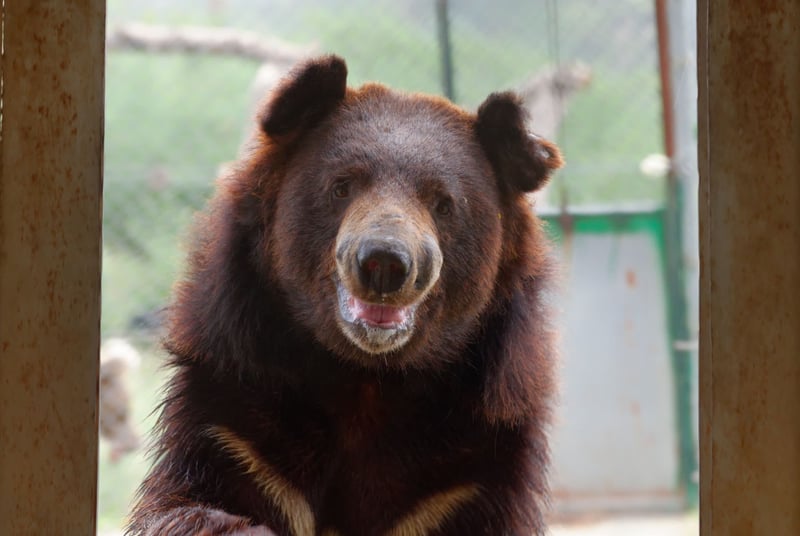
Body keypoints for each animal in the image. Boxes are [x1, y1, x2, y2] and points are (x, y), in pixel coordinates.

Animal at [127, 55, 562, 536]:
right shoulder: (234, 428)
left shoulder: (467, 474)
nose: (384, 263)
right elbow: (185, 505)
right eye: (341, 186)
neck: (366, 379)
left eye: (444, 203)